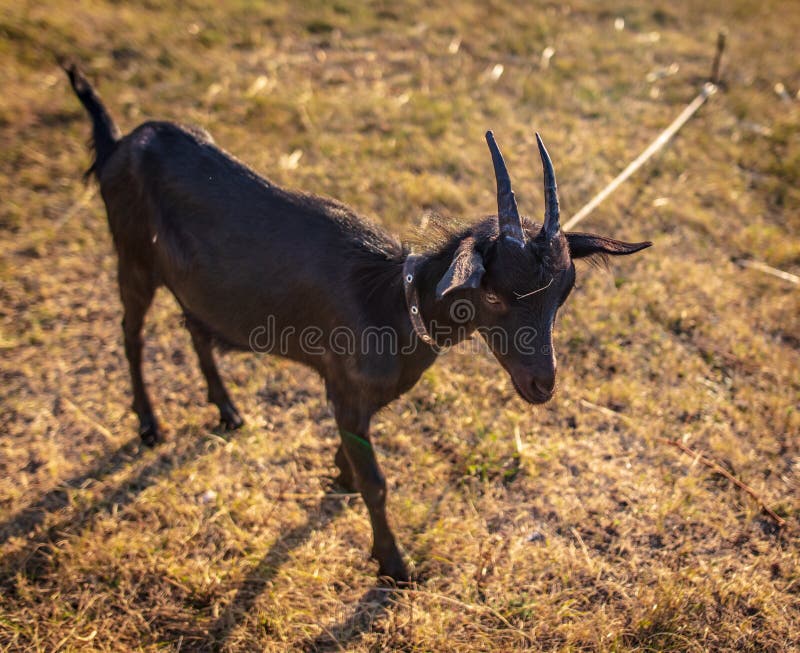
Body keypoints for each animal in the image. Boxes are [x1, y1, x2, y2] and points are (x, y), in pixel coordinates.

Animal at [65, 64, 651, 582]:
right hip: (132, 256)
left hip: (190, 283)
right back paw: (149, 425)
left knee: (193, 327)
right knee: (131, 332)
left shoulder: (354, 398)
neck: (394, 303)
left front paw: (340, 475)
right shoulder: (344, 388)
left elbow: (356, 456)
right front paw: (393, 564)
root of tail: (119, 143)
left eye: (563, 294)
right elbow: (377, 484)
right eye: (493, 293)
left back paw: (227, 411)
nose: (542, 384)